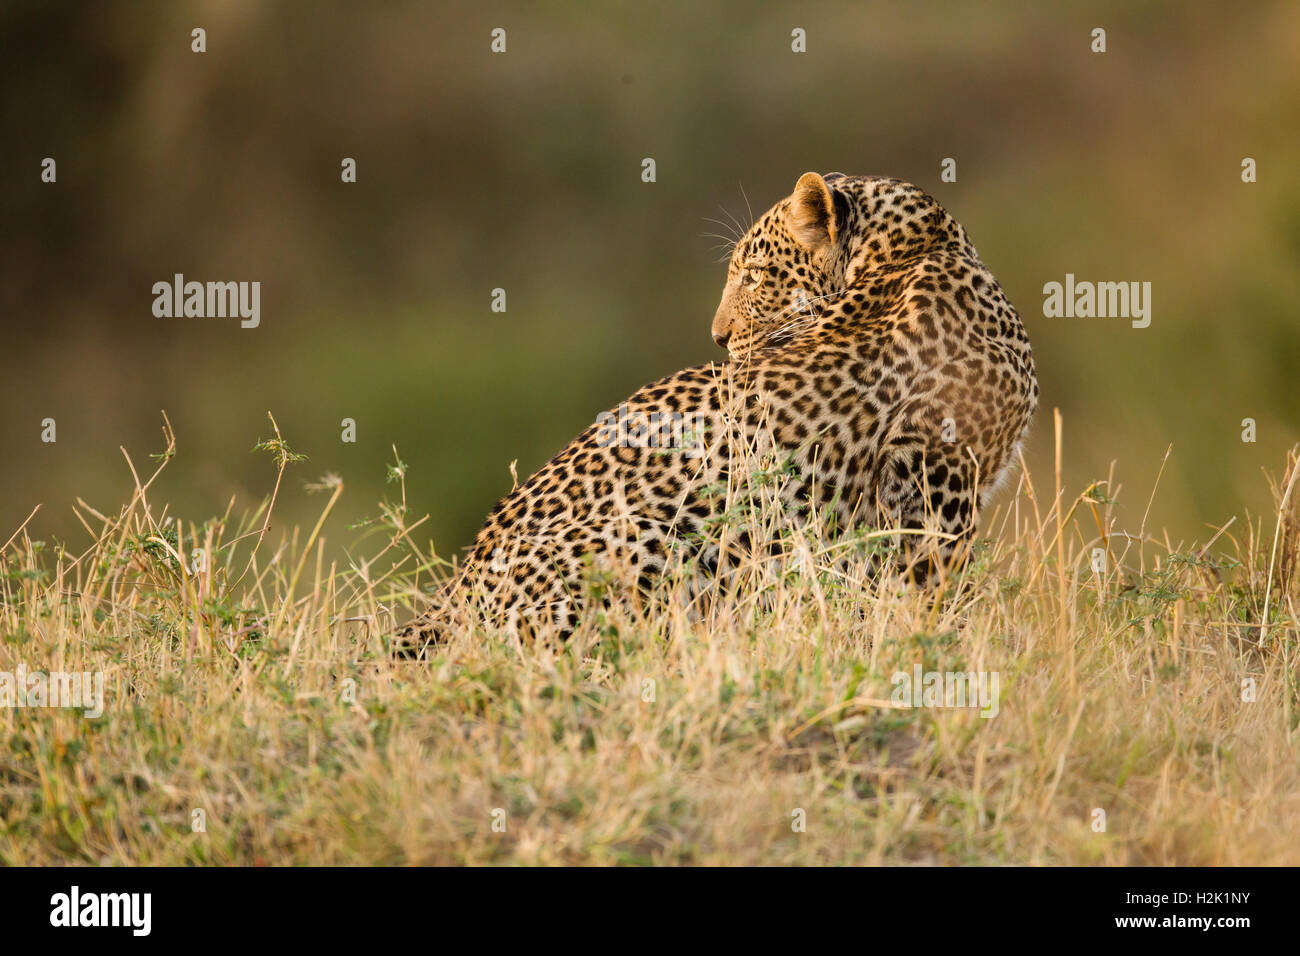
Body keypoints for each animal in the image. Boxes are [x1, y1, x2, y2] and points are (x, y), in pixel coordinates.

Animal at [397, 172, 1038, 652]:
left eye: (753, 277)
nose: (718, 337)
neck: (914, 246)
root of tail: (452, 600)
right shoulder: (941, 480)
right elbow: (936, 597)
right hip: (654, 537)